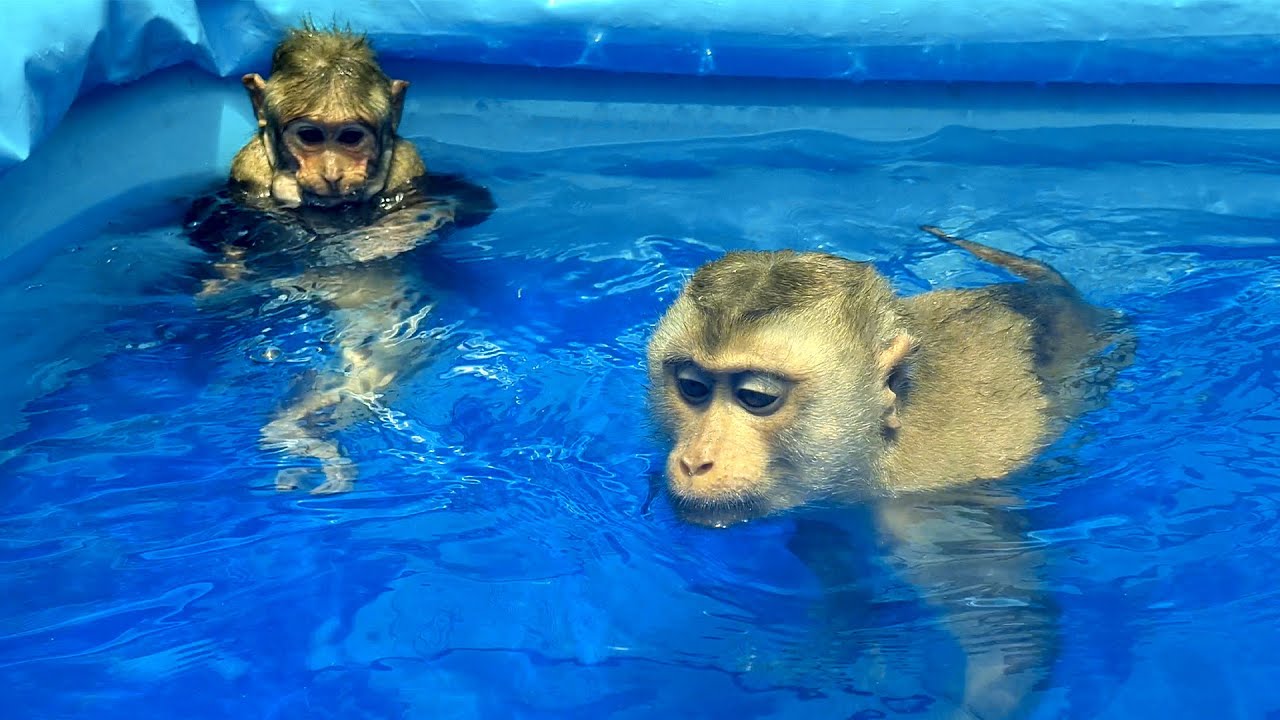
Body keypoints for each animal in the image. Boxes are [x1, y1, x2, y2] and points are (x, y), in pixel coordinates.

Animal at [186, 21, 494, 494]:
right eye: (310, 136)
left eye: (351, 137)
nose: (332, 172)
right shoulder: (247, 166)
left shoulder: (409, 163)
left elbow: (468, 202)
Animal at [645, 225, 1134, 718]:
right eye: (692, 387)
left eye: (756, 396)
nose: (695, 461)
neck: (879, 446)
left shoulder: (934, 526)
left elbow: (1011, 628)